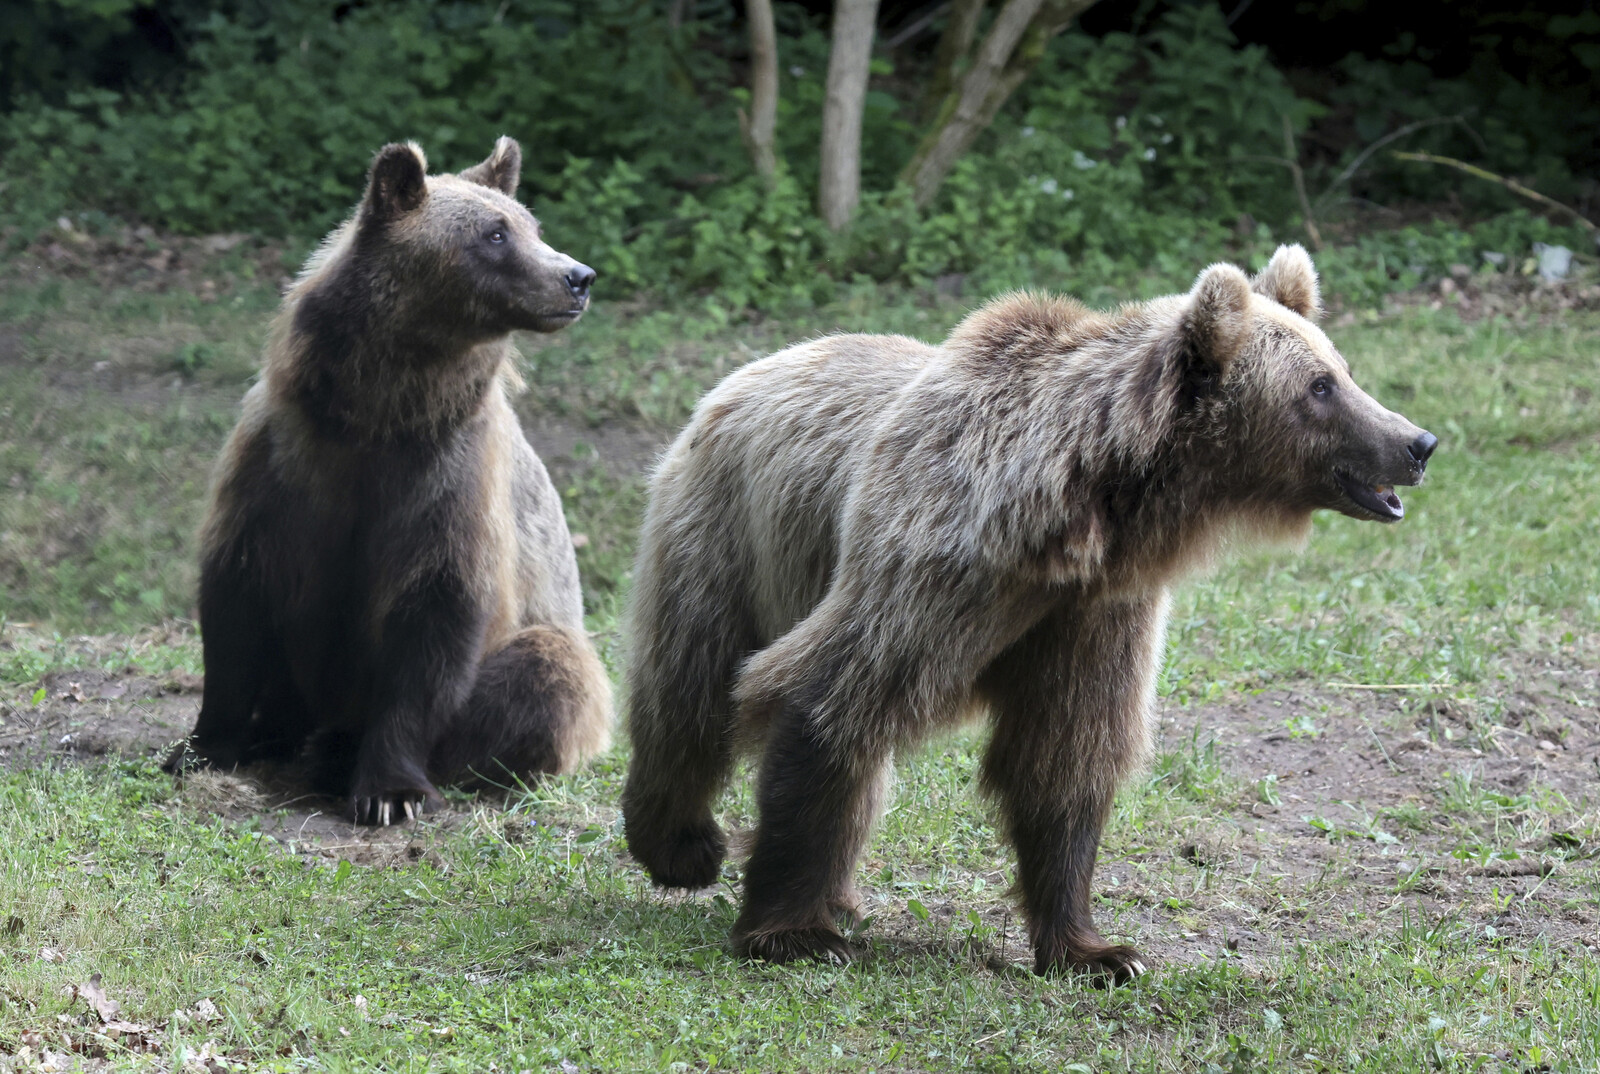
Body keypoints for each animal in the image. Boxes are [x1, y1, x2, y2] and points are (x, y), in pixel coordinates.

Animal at [164, 137, 612, 825]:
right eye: (496, 232)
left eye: (529, 225)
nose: (578, 277)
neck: (378, 413)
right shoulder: (283, 462)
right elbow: (237, 601)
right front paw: (203, 747)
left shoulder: (446, 480)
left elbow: (434, 619)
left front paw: (391, 792)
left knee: (548, 672)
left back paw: (335, 750)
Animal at [621, 245, 1436, 980]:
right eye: (1320, 386)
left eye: (1344, 370)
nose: (1418, 442)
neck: (1080, 514)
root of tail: (756, 365)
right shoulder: (937, 564)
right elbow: (828, 694)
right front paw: (792, 932)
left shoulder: (1093, 611)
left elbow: (1067, 752)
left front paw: (1096, 951)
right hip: (727, 531)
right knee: (691, 683)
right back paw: (682, 845)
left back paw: (838, 891)